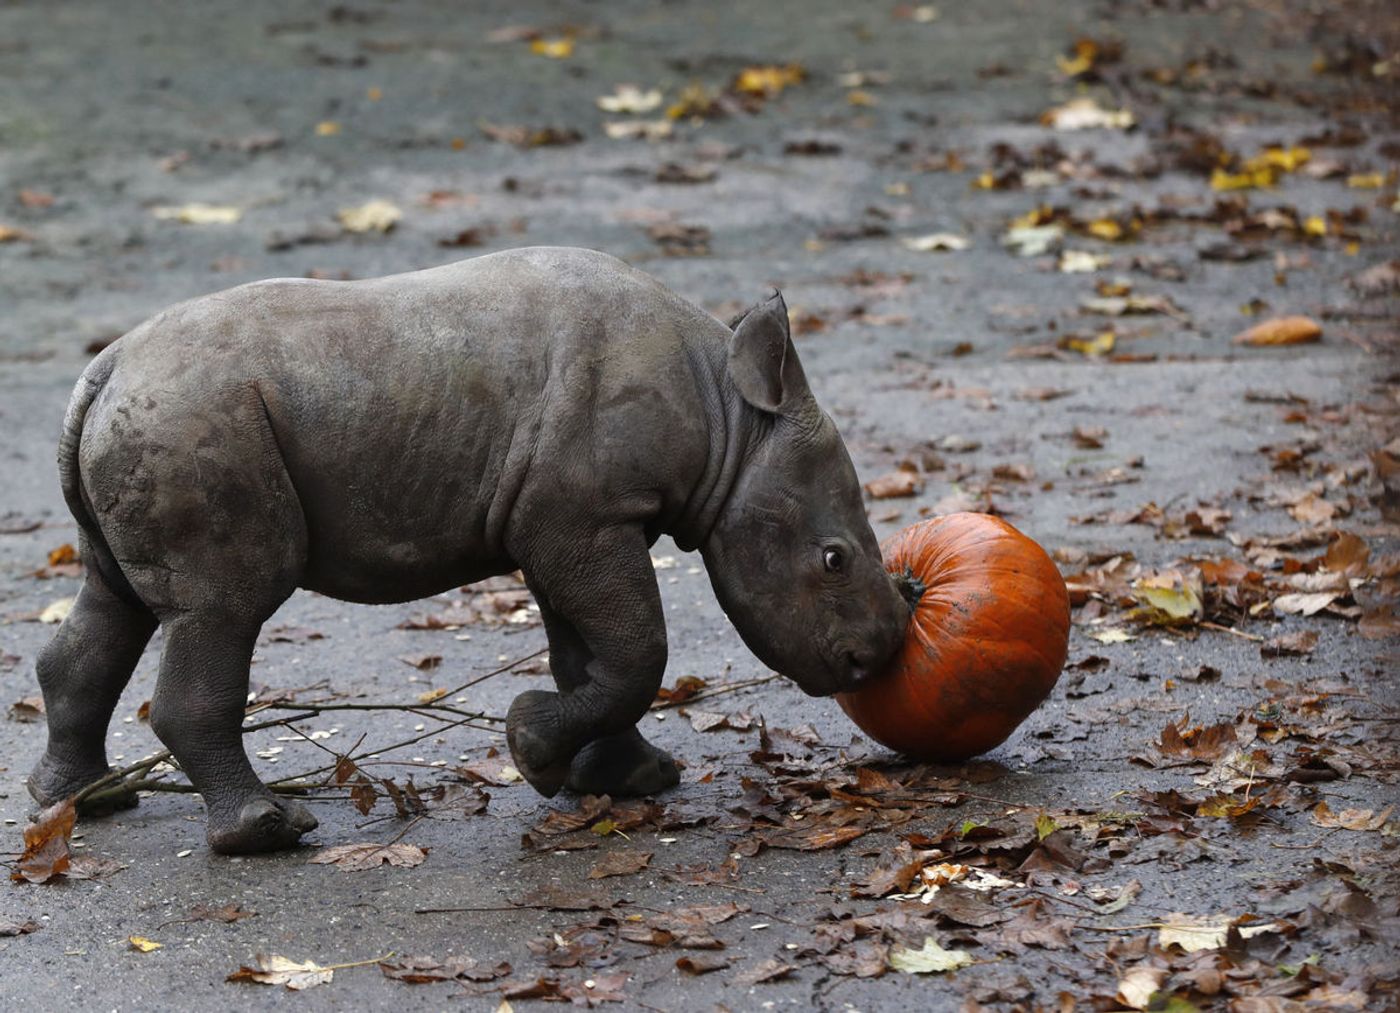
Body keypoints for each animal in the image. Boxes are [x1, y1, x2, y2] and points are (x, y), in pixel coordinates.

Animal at [32, 247, 912, 856]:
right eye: (834, 559)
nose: (873, 658)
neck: (729, 420)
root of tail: (103, 371)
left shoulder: (568, 518)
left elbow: (590, 653)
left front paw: (628, 778)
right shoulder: (582, 518)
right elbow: (638, 647)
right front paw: (533, 751)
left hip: (157, 420)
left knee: (115, 599)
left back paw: (85, 799)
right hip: (195, 420)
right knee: (224, 606)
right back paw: (271, 831)